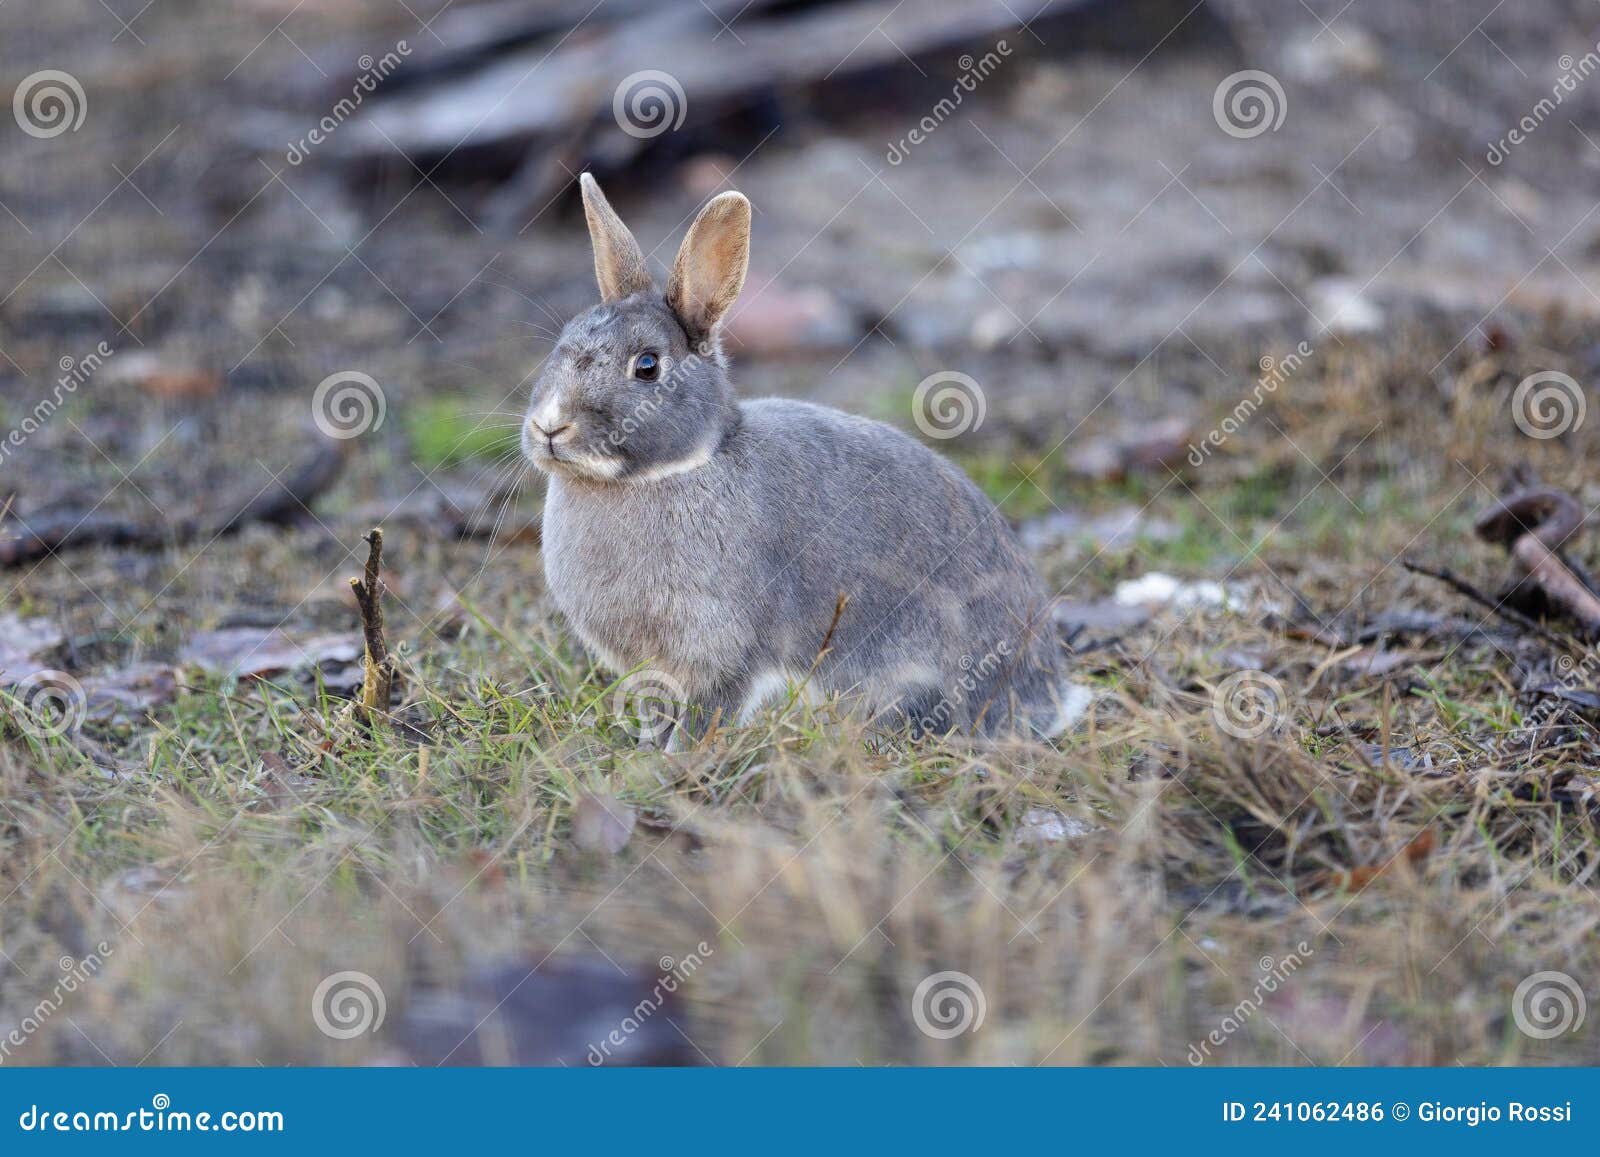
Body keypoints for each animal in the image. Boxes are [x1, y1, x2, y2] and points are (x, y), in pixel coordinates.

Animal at [522, 173, 1085, 748]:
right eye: (563, 342)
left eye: (648, 366)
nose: (550, 426)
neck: (676, 469)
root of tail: (1046, 696)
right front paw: (648, 748)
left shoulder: (724, 650)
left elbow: (710, 708)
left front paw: (680, 756)